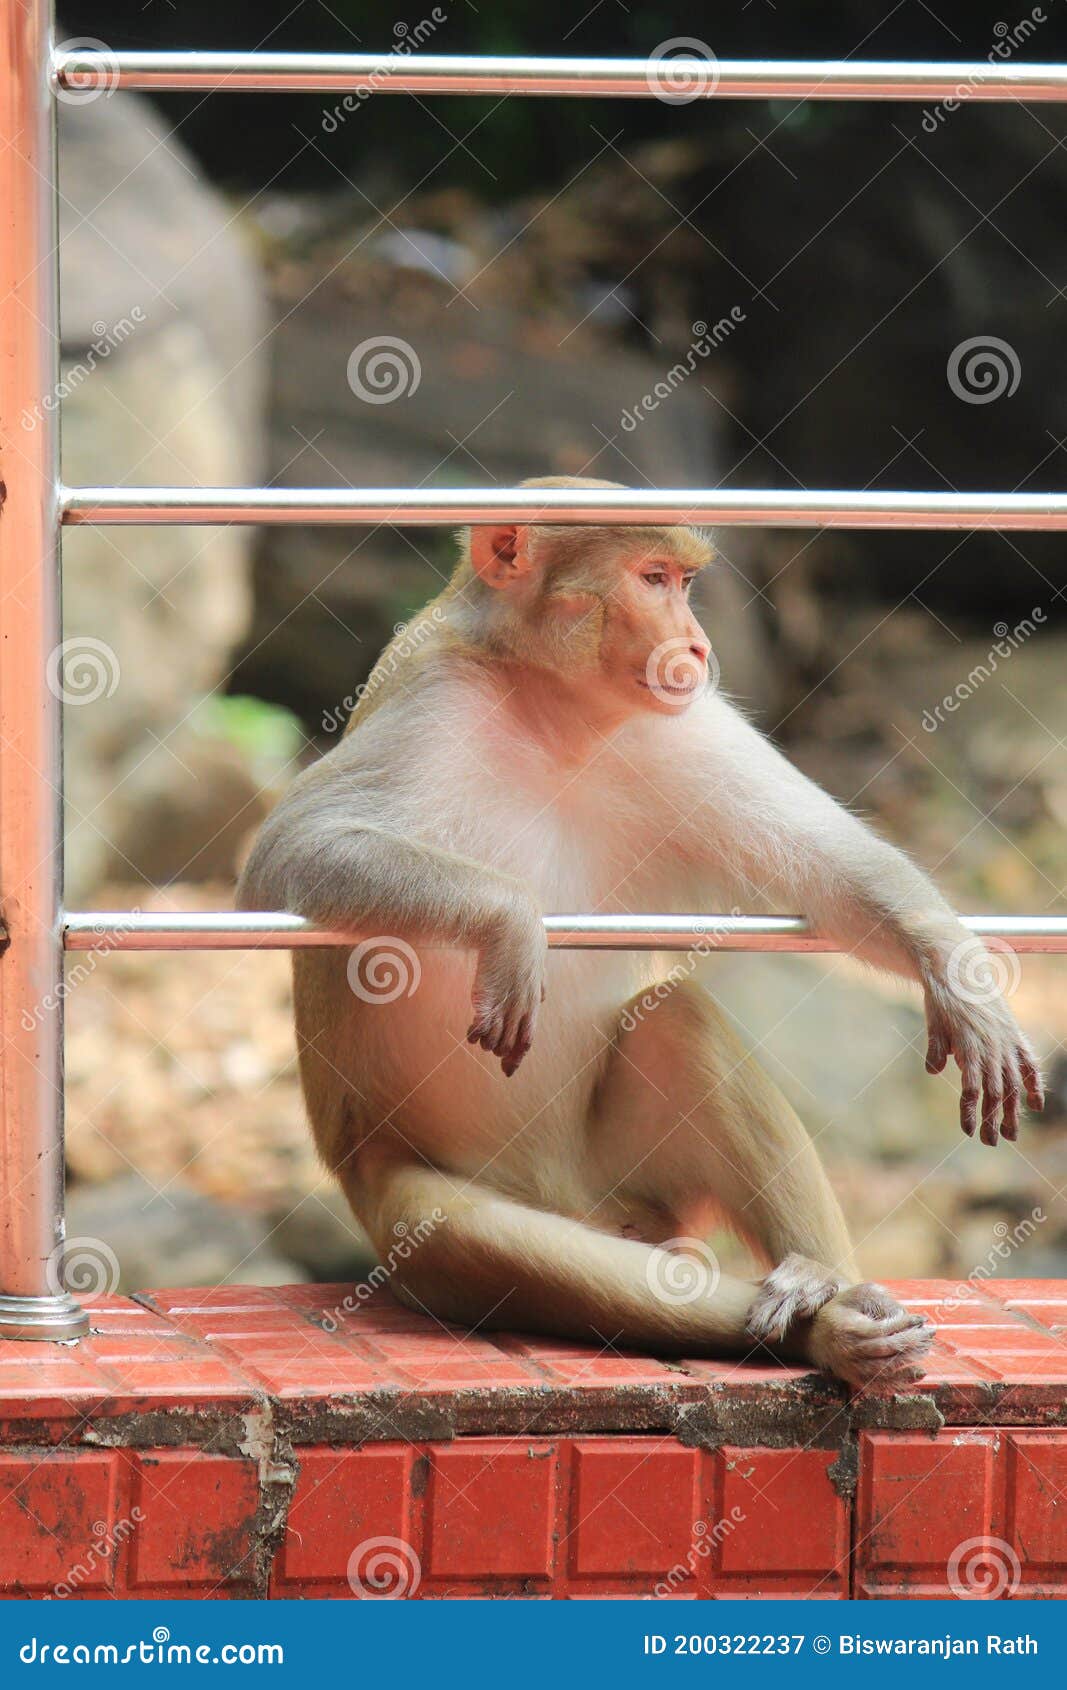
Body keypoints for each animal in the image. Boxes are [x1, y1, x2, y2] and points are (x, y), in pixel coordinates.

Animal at [237, 475, 1043, 1390]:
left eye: (682, 582)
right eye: (651, 578)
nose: (695, 644)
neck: (547, 710)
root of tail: (584, 1202)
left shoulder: (681, 721)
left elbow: (829, 866)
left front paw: (958, 979)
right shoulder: (430, 704)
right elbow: (293, 851)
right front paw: (511, 924)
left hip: (644, 1188)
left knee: (676, 1020)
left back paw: (825, 1289)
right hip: (419, 1213)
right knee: (461, 1225)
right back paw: (824, 1332)